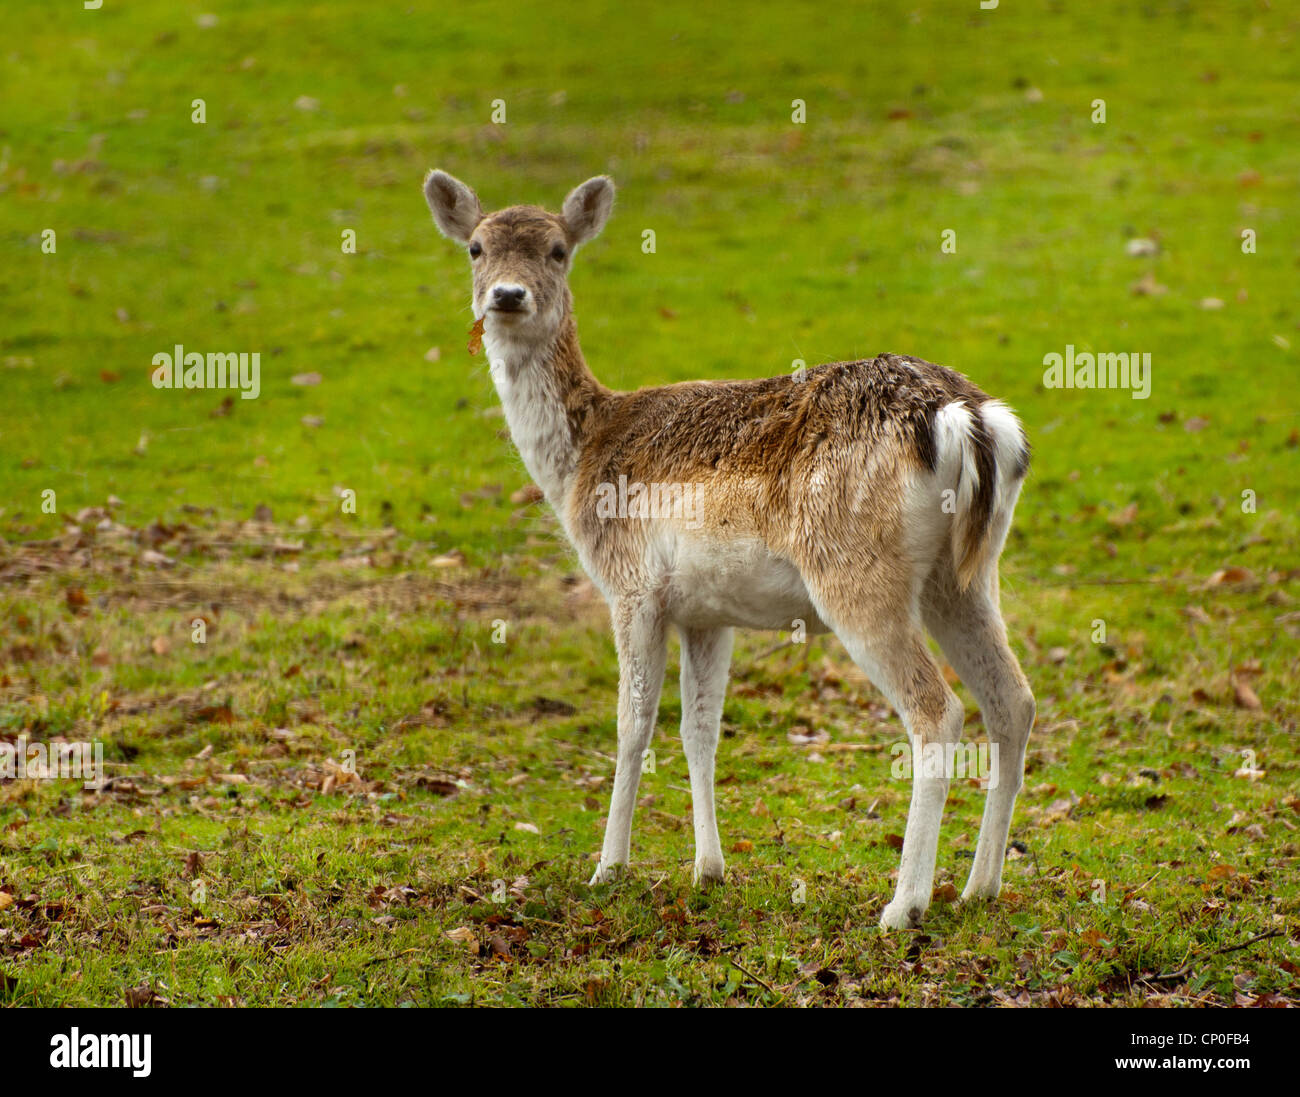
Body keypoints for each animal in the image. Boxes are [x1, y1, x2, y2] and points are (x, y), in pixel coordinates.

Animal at [424, 170, 1036, 929]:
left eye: (558, 250)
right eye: (476, 248)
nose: (507, 296)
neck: (579, 463)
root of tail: (967, 416)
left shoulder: (631, 586)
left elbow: (632, 725)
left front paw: (607, 869)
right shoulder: (705, 612)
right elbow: (700, 729)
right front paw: (708, 869)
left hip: (855, 573)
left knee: (938, 709)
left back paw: (903, 905)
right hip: (966, 576)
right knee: (1013, 700)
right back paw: (981, 887)